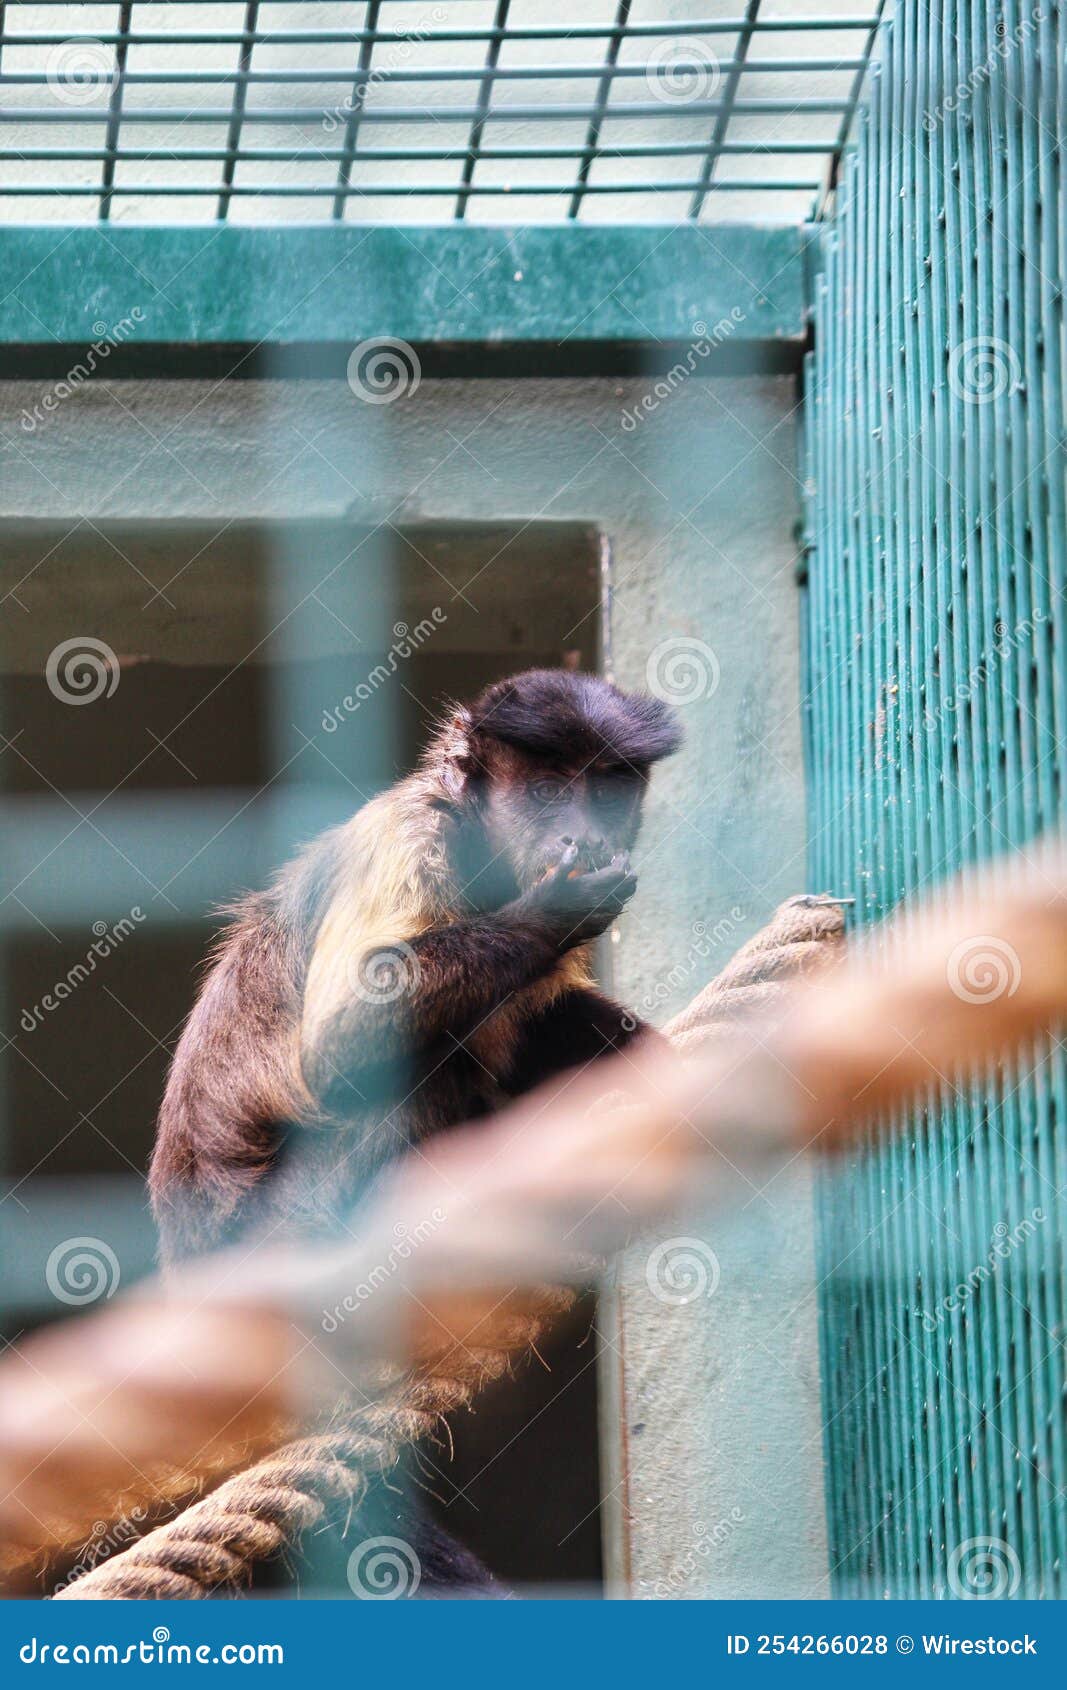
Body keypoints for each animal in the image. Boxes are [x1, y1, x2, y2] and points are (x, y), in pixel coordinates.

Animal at [150, 667, 681, 1268]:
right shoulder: (411, 836)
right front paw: (554, 912)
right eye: (547, 792)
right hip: (279, 1223)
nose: (587, 836)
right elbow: (337, 1044)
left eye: (607, 797)